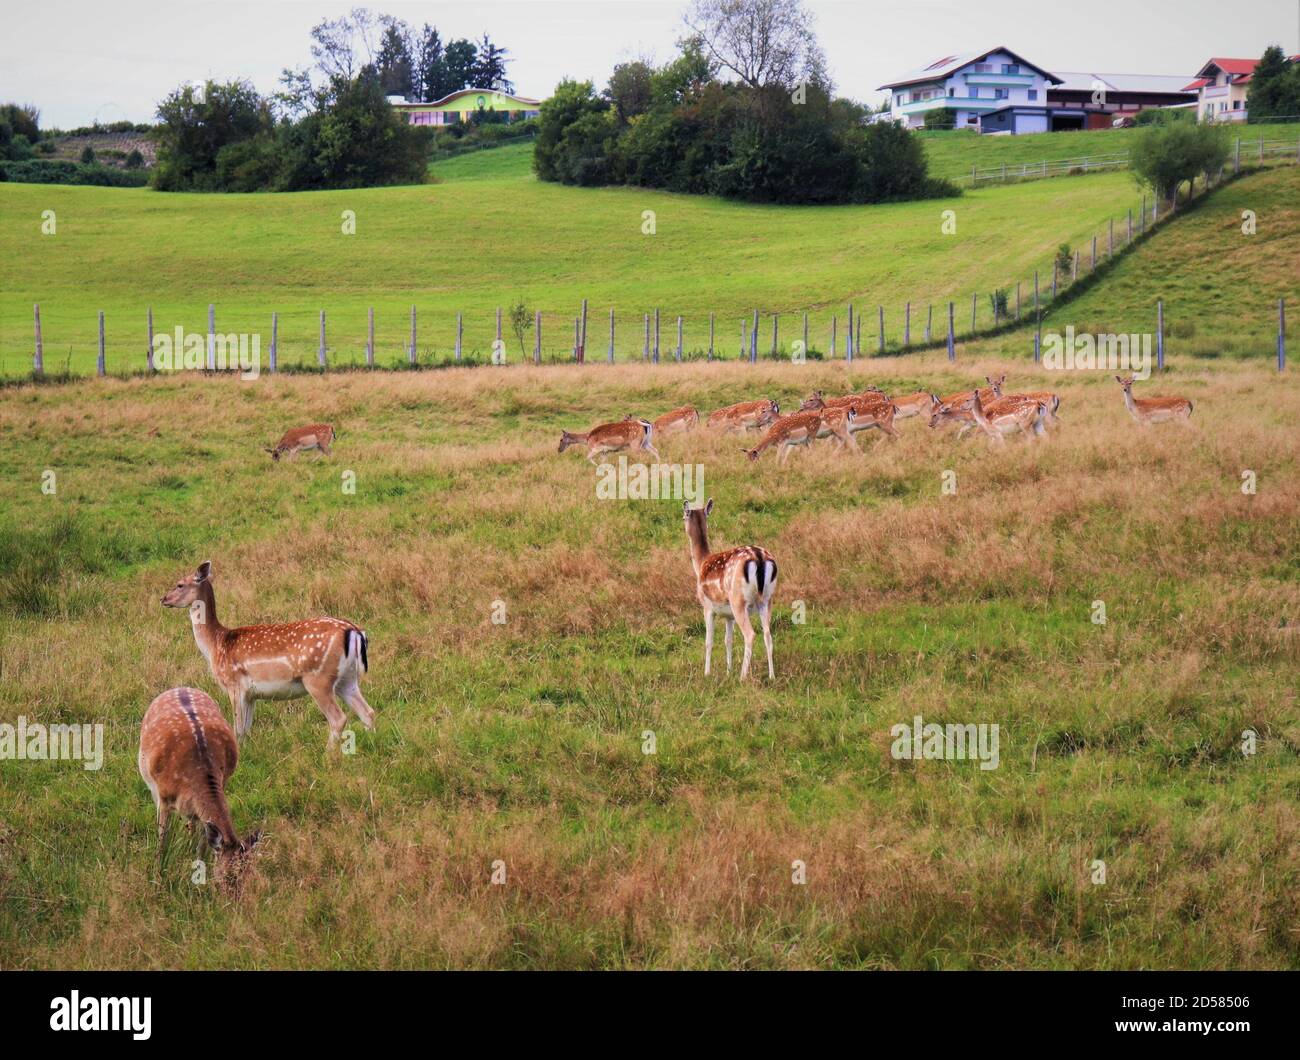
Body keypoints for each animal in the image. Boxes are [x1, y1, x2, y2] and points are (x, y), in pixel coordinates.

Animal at [138, 686, 260, 874]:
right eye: (226, 874)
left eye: (249, 871)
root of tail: (180, 687)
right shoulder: (164, 797)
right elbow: (163, 838)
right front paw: (158, 870)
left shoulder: (222, 781)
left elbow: (203, 840)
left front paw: (199, 866)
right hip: (152, 785)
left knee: (192, 820)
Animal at [161, 561, 374, 749]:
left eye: (180, 584)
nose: (163, 599)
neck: (216, 644)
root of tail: (354, 631)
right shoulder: (251, 694)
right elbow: (246, 729)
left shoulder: (234, 684)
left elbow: (238, 728)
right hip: (347, 679)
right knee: (368, 712)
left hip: (318, 678)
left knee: (339, 718)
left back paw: (328, 754)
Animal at [683, 499, 777, 679]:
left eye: (683, 516)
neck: (700, 564)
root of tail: (759, 558)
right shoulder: (729, 615)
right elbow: (728, 640)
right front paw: (728, 671)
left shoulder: (707, 607)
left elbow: (709, 641)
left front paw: (707, 673)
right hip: (767, 599)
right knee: (768, 635)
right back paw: (771, 676)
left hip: (738, 600)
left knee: (750, 634)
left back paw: (742, 677)